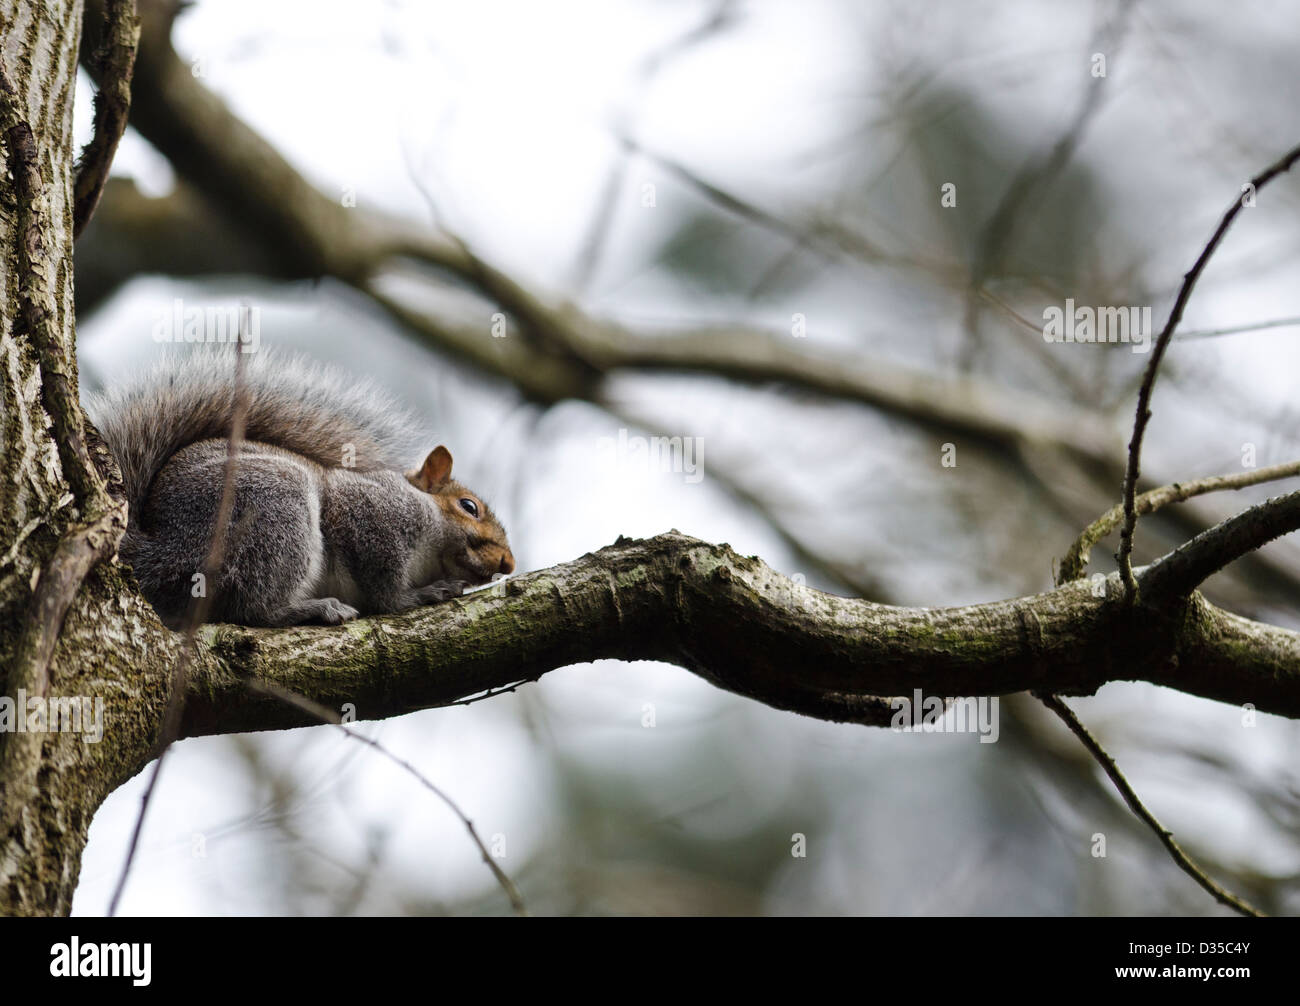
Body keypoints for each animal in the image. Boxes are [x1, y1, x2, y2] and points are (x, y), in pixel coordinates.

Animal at [86, 348, 514, 628]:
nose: (508, 564)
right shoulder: (373, 514)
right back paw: (312, 609)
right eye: (469, 506)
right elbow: (384, 588)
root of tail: (160, 548)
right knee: (252, 609)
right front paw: (418, 596)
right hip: (274, 509)